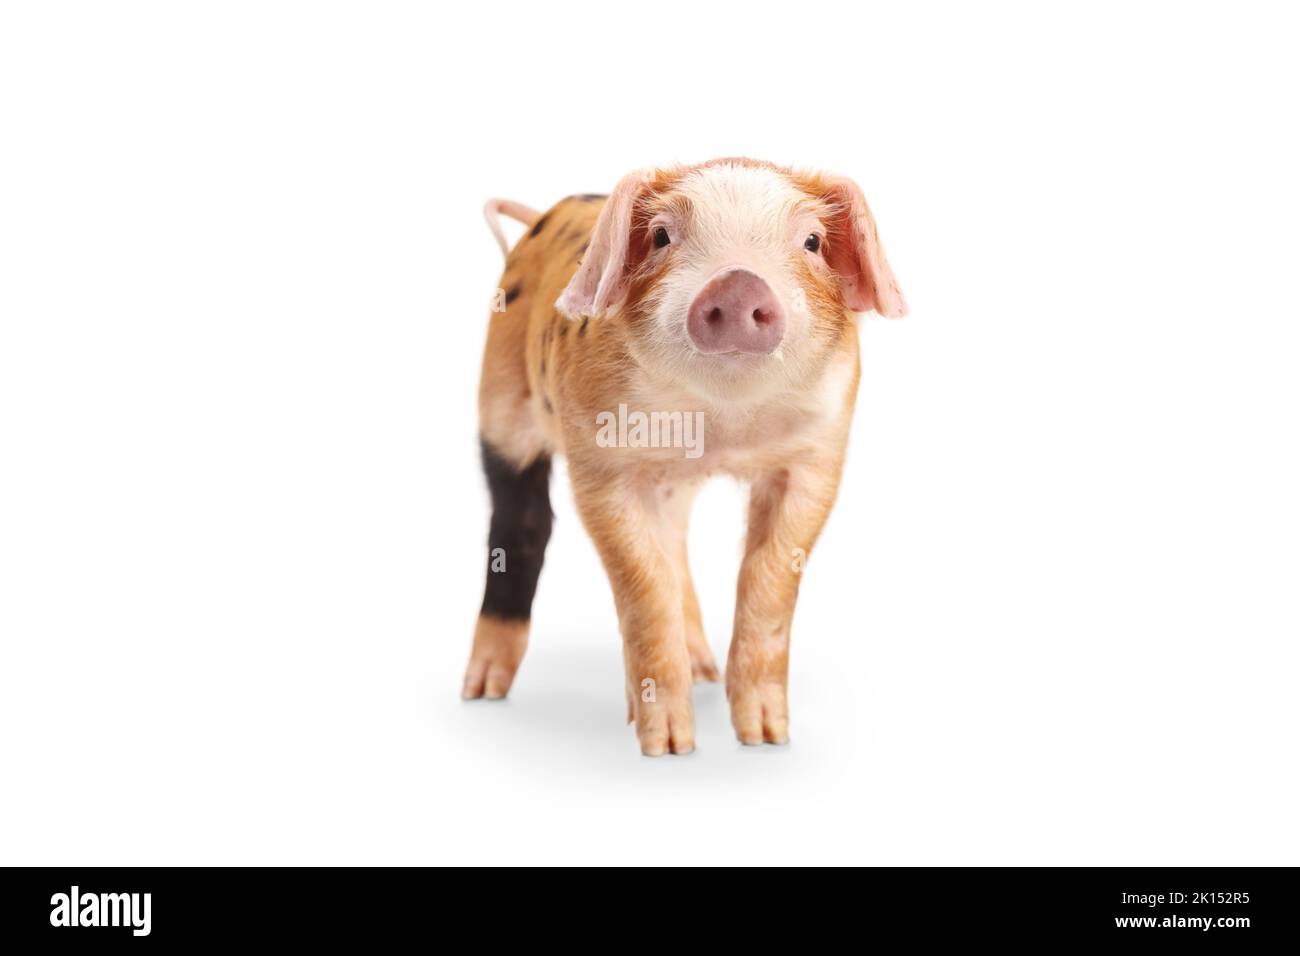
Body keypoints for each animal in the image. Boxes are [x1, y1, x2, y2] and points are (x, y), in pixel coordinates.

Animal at [465, 158, 907, 755]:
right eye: (660, 236)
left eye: (812, 241)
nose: (738, 280)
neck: (719, 425)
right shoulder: (601, 462)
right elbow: (644, 584)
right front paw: (669, 748)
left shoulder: (819, 454)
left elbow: (768, 579)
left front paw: (766, 738)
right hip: (499, 397)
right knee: (521, 521)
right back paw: (481, 692)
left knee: (673, 537)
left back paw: (704, 672)